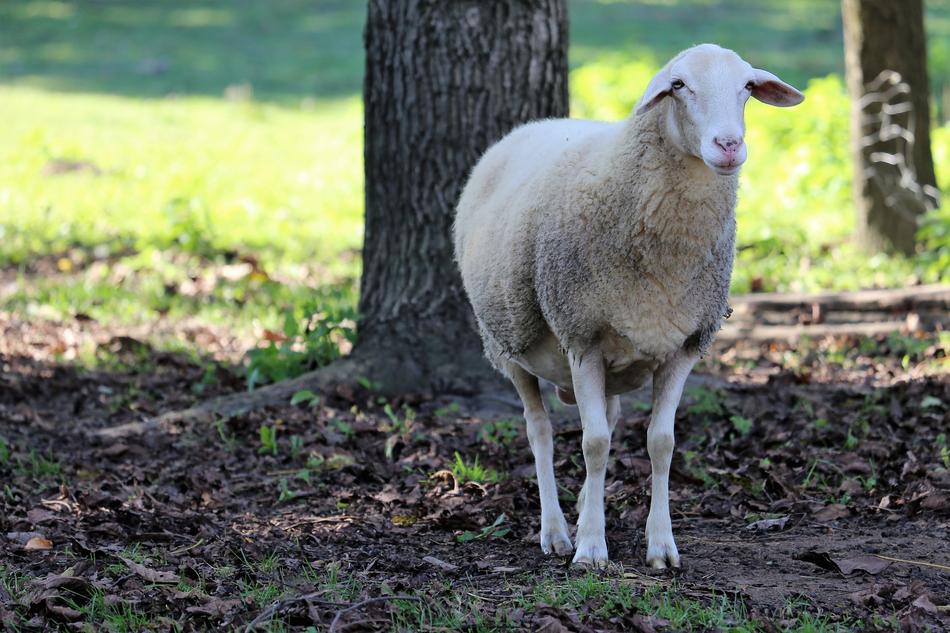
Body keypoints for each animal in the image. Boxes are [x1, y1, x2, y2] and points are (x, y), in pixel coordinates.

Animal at [453, 44, 803, 569]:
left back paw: (582, 510)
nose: (728, 145)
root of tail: (531, 126)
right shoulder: (582, 338)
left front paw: (660, 545)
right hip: (506, 341)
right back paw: (556, 531)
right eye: (678, 86)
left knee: (609, 417)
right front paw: (591, 549)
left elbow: (660, 443)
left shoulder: (685, 344)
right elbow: (594, 443)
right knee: (540, 430)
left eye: (747, 86)